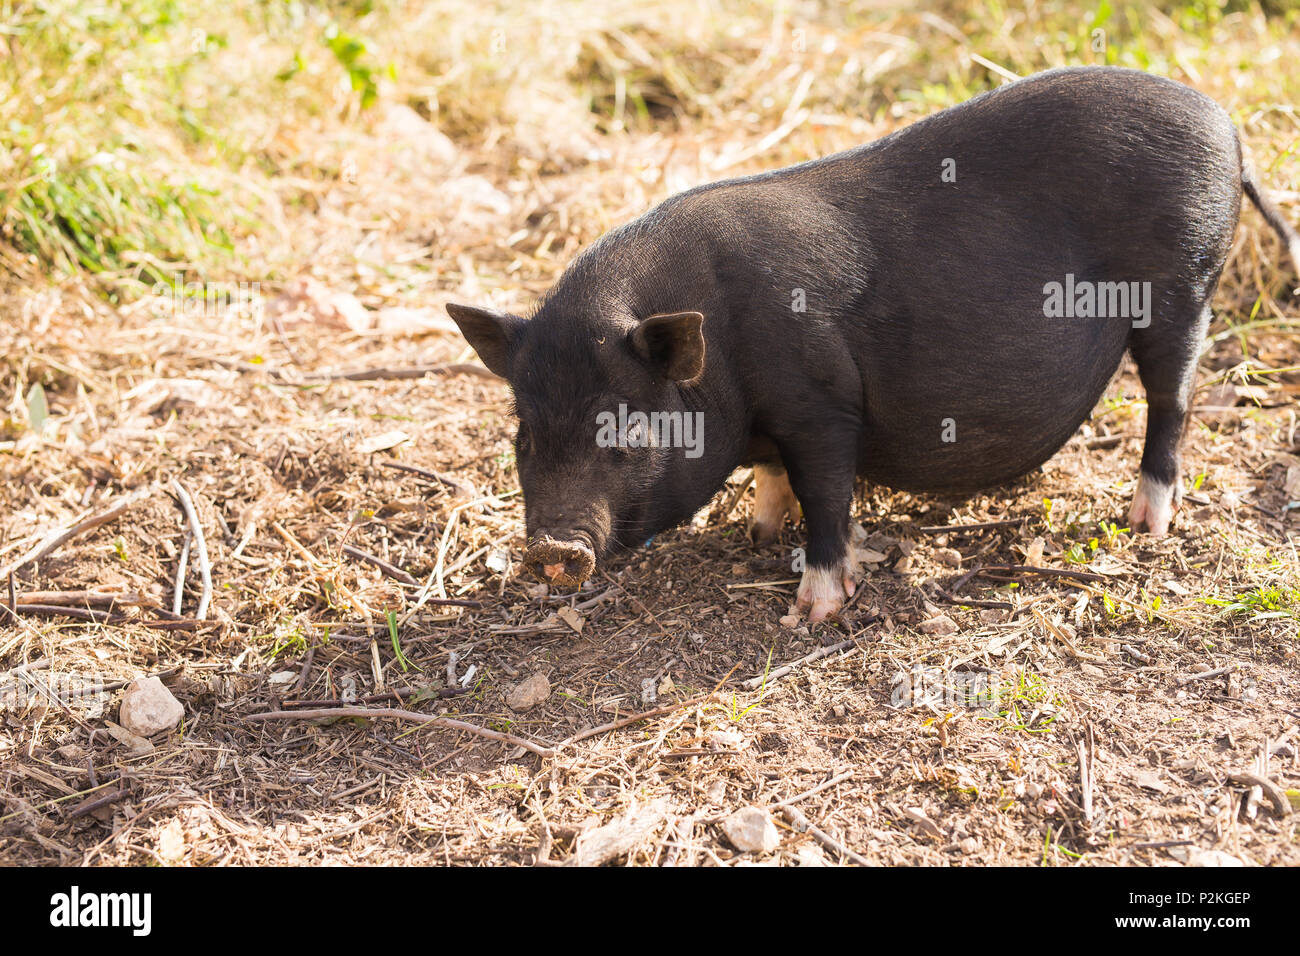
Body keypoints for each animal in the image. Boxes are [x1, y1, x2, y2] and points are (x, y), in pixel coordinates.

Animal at [447, 66, 1300, 622]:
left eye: (624, 435)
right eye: (525, 438)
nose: (552, 547)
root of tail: (1226, 124)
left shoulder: (823, 405)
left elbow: (827, 498)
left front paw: (815, 609)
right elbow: (773, 476)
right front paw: (756, 533)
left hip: (1183, 286)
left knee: (1173, 400)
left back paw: (1145, 523)